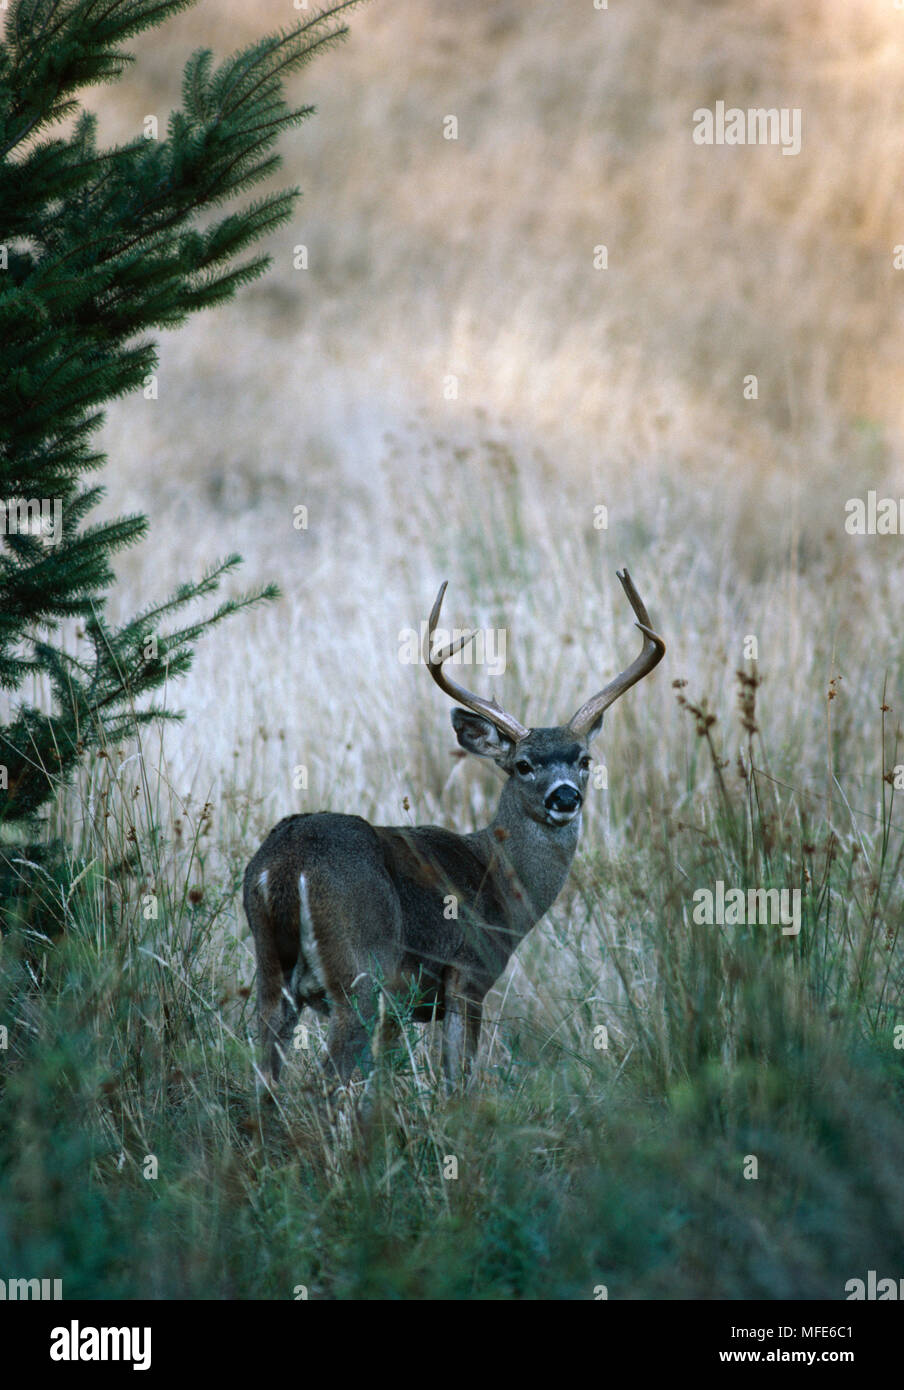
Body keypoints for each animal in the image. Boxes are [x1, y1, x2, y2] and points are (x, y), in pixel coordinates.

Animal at [243, 569, 664, 1092]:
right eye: (523, 765)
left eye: (584, 760)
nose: (565, 797)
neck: (502, 886)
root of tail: (285, 866)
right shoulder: (469, 975)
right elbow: (458, 1083)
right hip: (360, 973)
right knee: (325, 1082)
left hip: (271, 975)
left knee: (265, 1080)